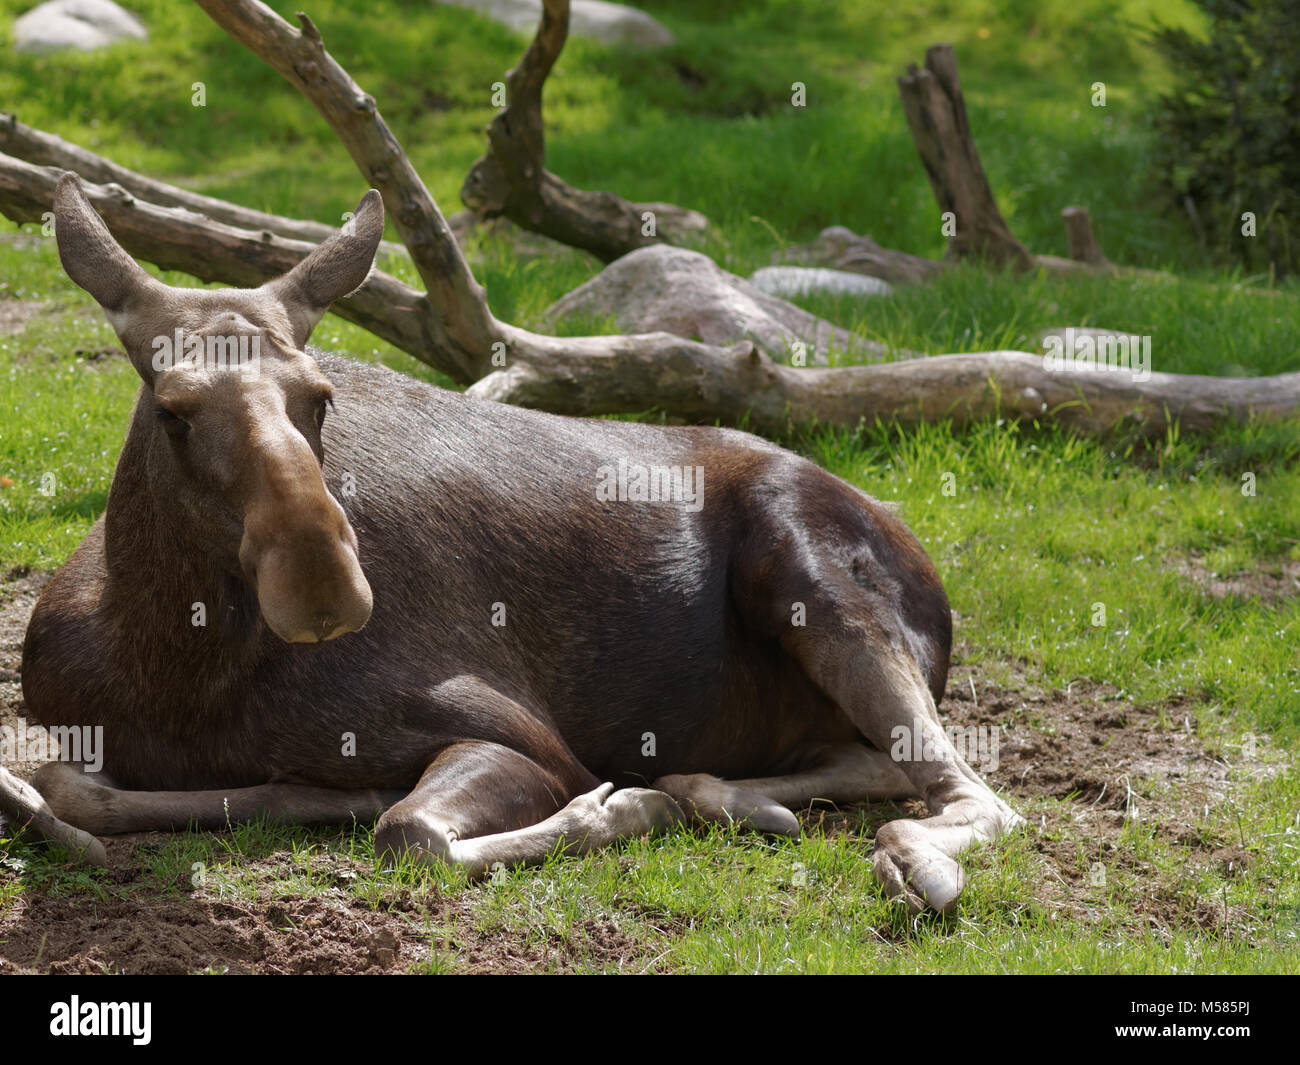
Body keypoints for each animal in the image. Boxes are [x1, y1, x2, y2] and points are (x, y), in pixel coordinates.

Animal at [18, 173, 1021, 915]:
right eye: (174, 409)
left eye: (320, 396)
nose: (323, 584)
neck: (167, 663)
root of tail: (935, 584)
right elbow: (64, 786)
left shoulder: (522, 735)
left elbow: (414, 835)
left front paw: (622, 807)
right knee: (874, 761)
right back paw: (725, 791)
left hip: (808, 565)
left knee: (974, 792)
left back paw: (897, 859)